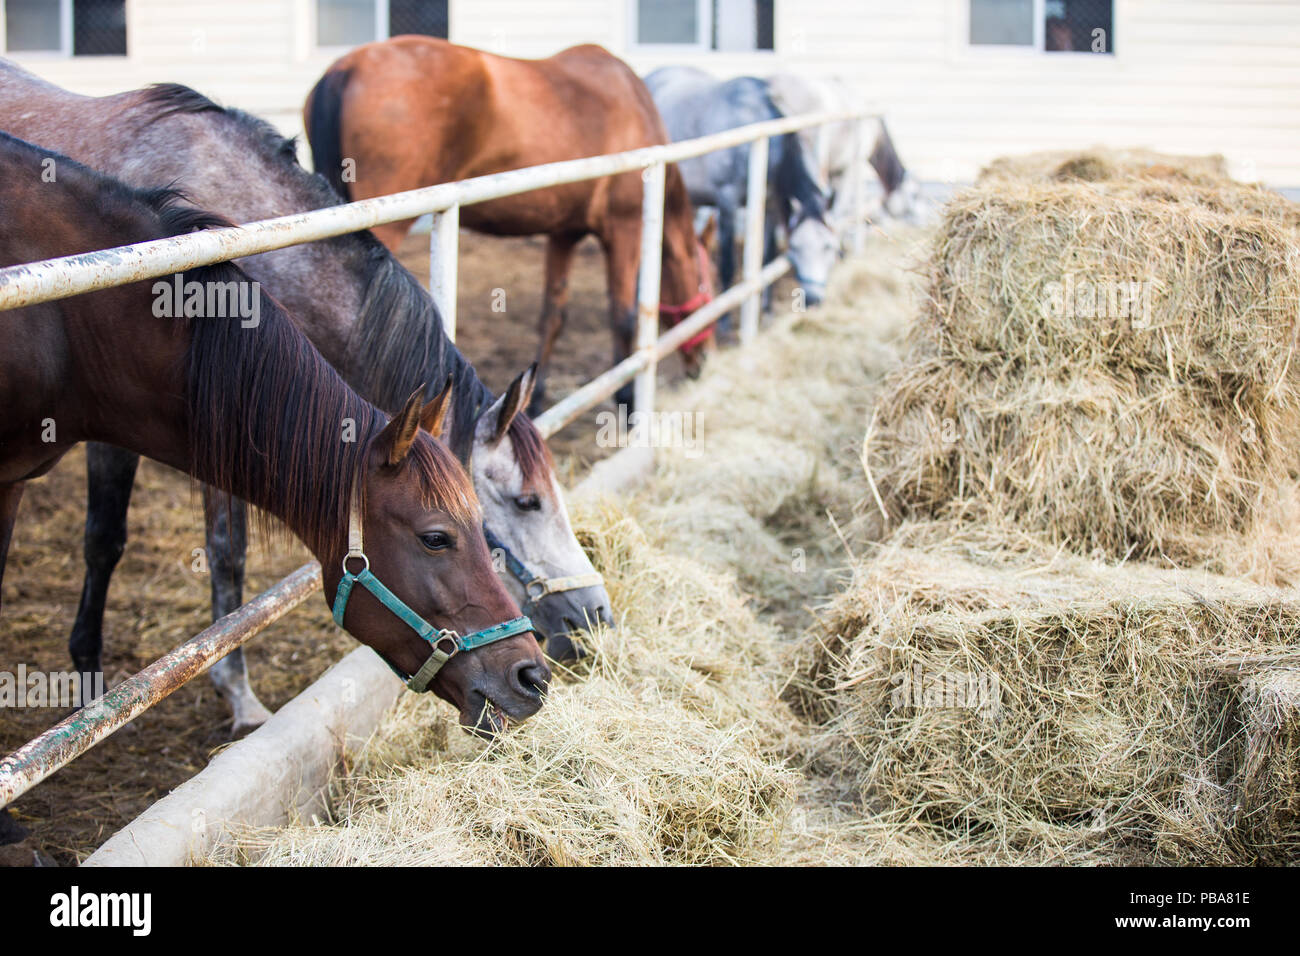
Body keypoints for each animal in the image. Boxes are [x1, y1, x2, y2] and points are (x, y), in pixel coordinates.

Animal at [0, 59, 611, 735]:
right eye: (527, 502)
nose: (595, 615)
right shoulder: (121, 434)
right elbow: (122, 543)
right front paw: (102, 681)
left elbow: (224, 553)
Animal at [304, 37, 715, 415]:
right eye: (706, 286)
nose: (703, 362)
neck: (634, 106)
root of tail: (345, 69)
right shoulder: (625, 229)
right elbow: (624, 316)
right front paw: (628, 401)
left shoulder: (563, 234)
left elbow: (553, 315)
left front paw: (535, 400)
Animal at [643, 66, 838, 308]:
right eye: (795, 246)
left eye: (829, 247)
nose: (812, 298)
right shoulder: (727, 200)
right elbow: (727, 265)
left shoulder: (769, 204)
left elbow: (766, 257)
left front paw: (766, 310)